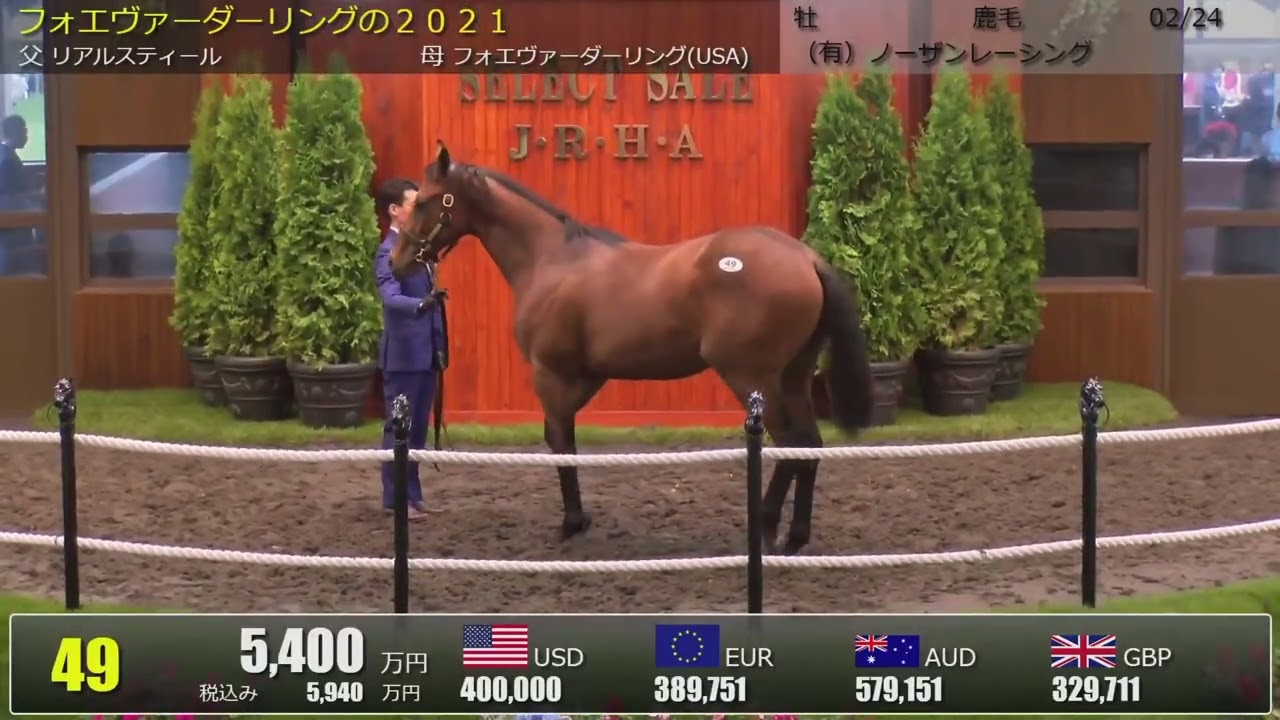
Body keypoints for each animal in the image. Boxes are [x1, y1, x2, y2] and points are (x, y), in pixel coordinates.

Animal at [392, 141, 874, 555]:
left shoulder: (551, 374)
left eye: (424, 202)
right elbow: (564, 439)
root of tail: (805, 258)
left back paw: (767, 529)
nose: (397, 262)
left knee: (789, 443)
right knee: (808, 445)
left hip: (753, 378)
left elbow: (560, 442)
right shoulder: (586, 376)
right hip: (794, 376)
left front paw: (573, 522)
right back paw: (796, 536)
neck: (551, 259)